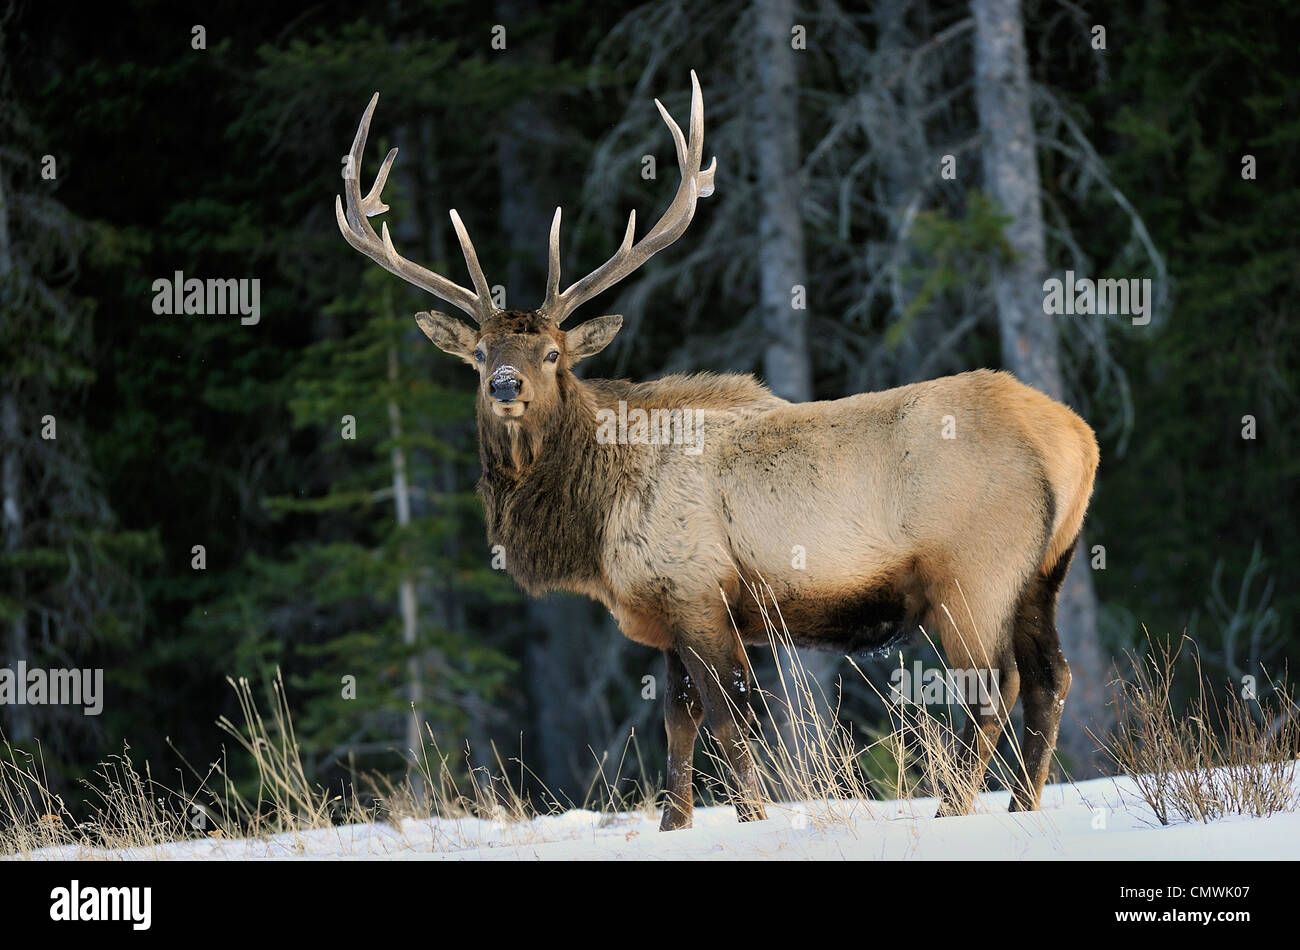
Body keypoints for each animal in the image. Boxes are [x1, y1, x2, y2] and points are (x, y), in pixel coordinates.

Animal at [335, 71, 1099, 831]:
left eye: (552, 354)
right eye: (479, 355)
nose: (504, 385)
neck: (596, 516)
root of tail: (1075, 440)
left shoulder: (700, 589)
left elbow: (731, 720)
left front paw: (752, 814)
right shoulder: (671, 608)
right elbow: (678, 722)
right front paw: (674, 823)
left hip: (973, 571)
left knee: (995, 686)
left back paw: (955, 808)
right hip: (1045, 572)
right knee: (1052, 678)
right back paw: (1023, 803)